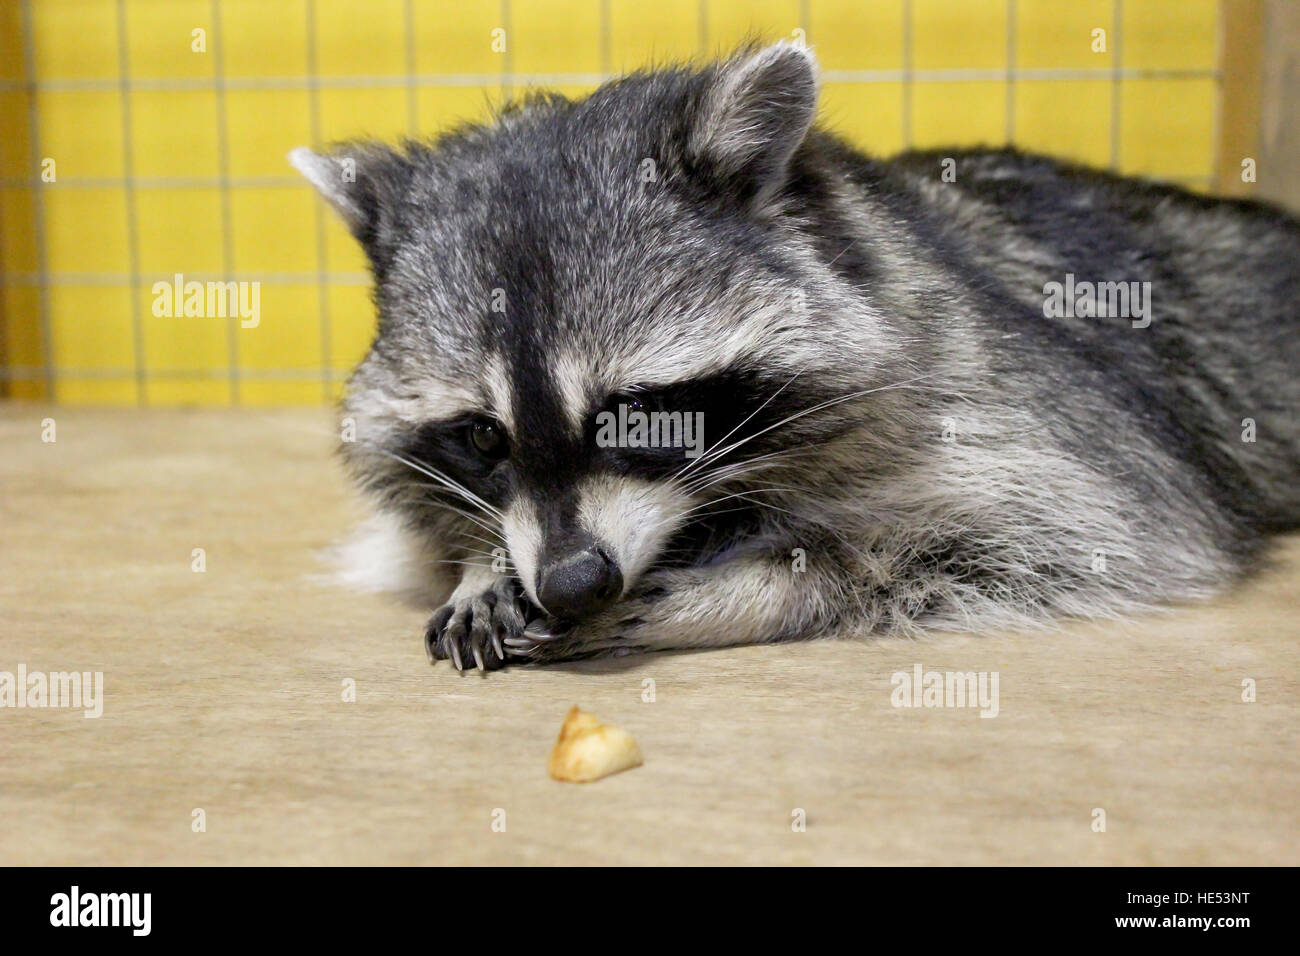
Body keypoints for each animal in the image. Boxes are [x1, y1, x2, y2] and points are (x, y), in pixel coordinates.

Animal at [291, 42, 1300, 671]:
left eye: (636, 415)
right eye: (482, 439)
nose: (576, 583)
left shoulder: (1010, 407)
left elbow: (1076, 533)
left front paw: (739, 590)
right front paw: (479, 563)